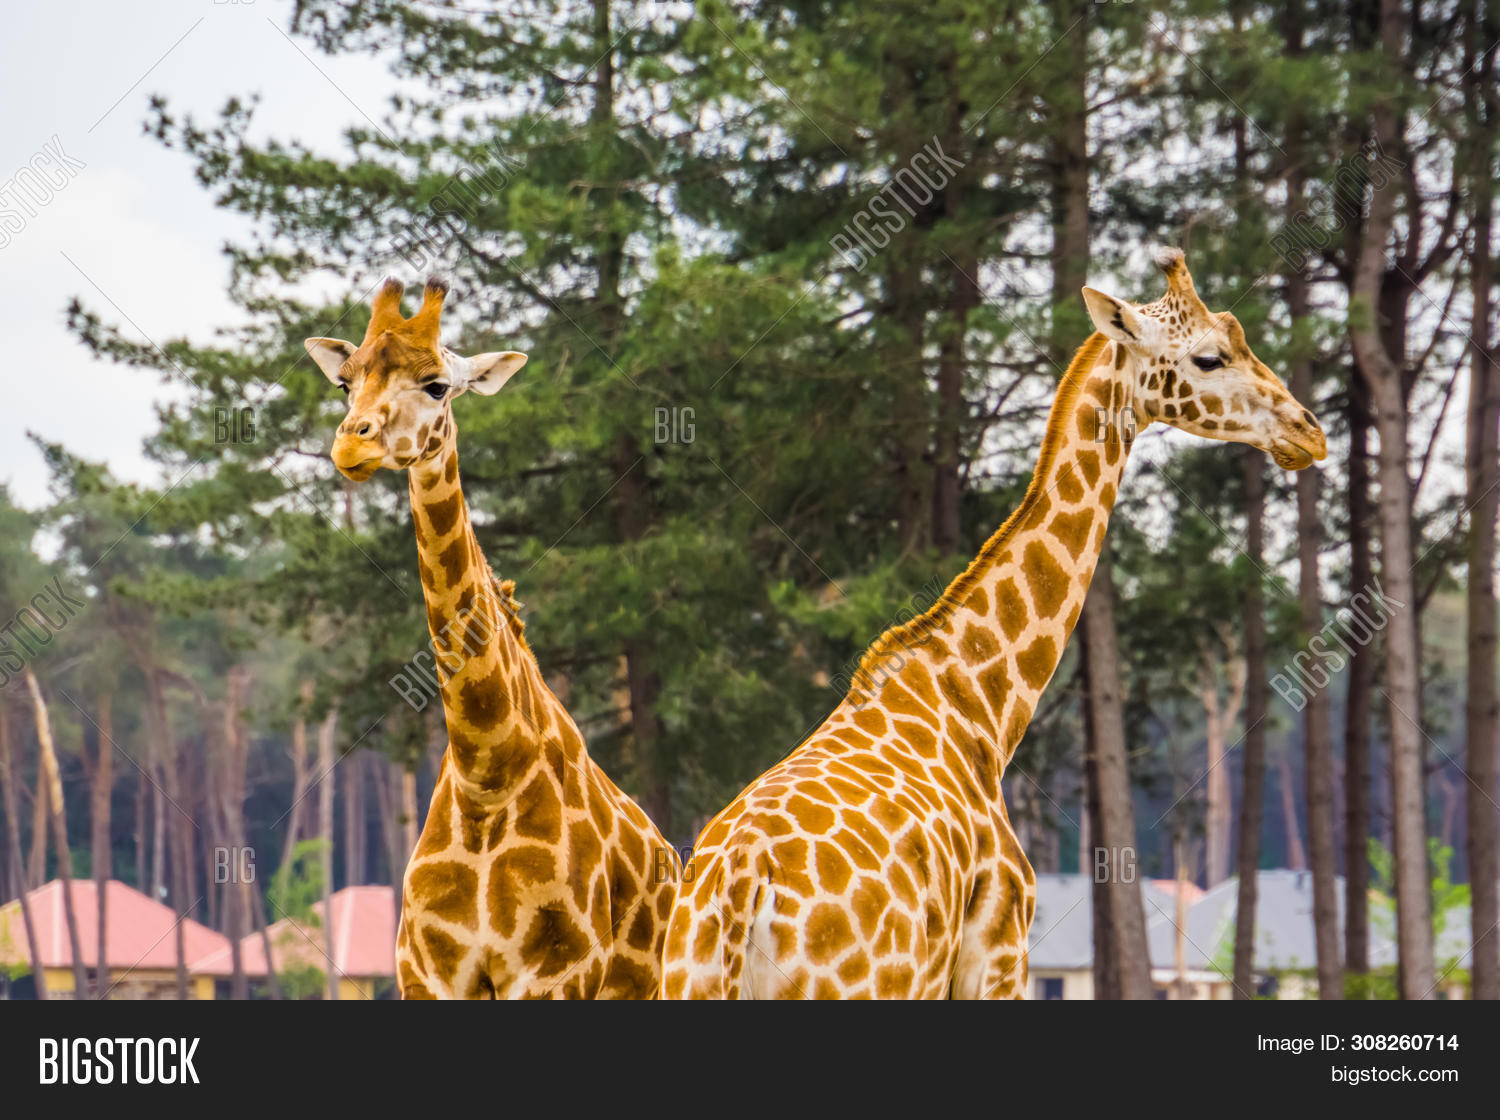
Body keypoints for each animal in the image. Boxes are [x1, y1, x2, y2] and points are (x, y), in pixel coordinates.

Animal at [304, 277, 679, 998]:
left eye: (436, 386)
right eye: (346, 382)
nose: (351, 446)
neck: (487, 769)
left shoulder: (556, 975)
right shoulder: (426, 976)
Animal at [660, 248, 1326, 999]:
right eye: (1209, 357)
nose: (1309, 432)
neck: (980, 705)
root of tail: (738, 887)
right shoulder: (1001, 953)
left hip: (685, 975)